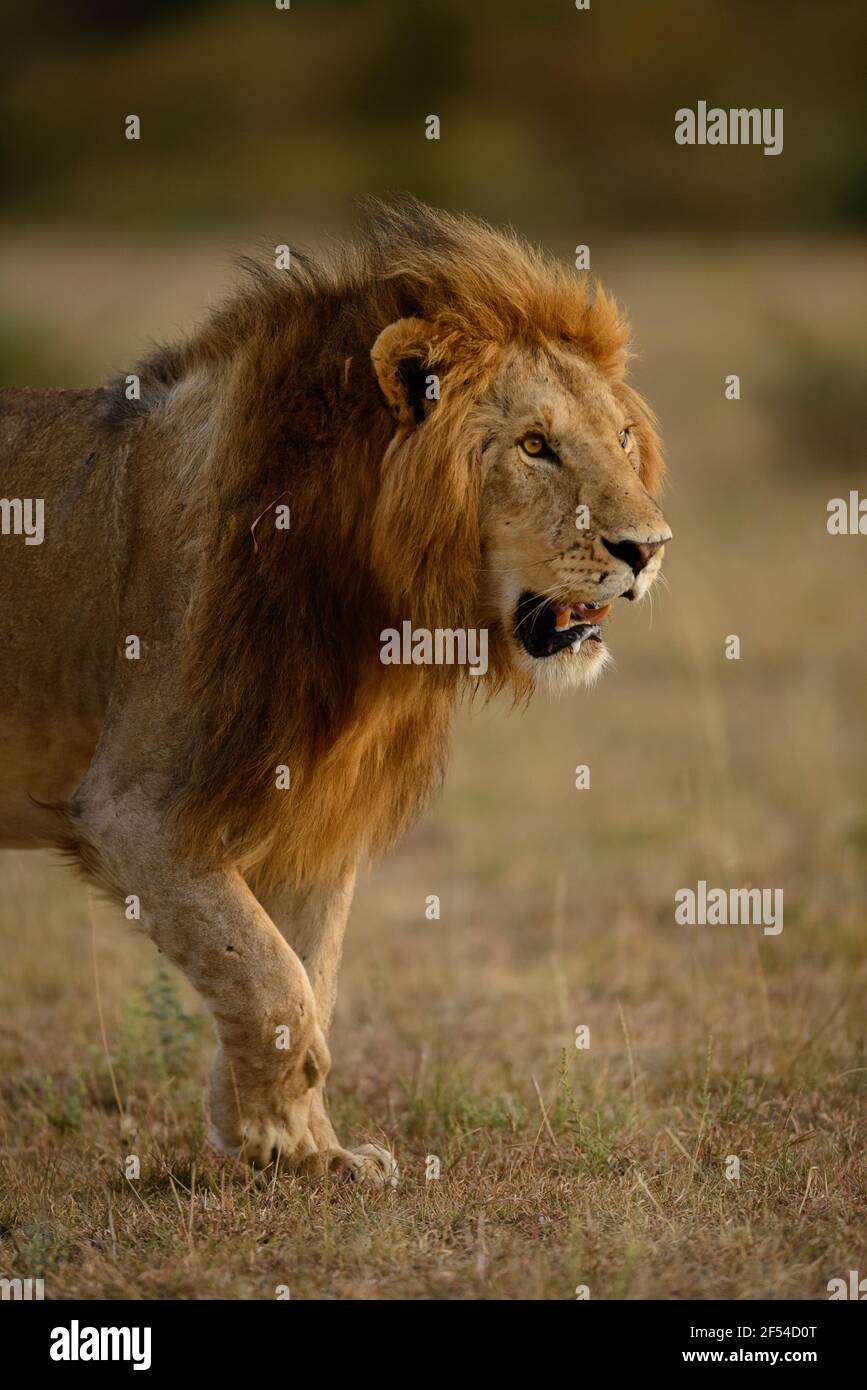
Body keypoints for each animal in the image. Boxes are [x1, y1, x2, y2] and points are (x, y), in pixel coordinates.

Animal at [0, 199, 669, 1183]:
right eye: (534, 446)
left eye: (621, 438)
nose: (648, 548)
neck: (367, 613)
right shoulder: (134, 808)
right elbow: (274, 985)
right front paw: (282, 1133)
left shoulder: (310, 813)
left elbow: (303, 974)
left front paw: (301, 1150)